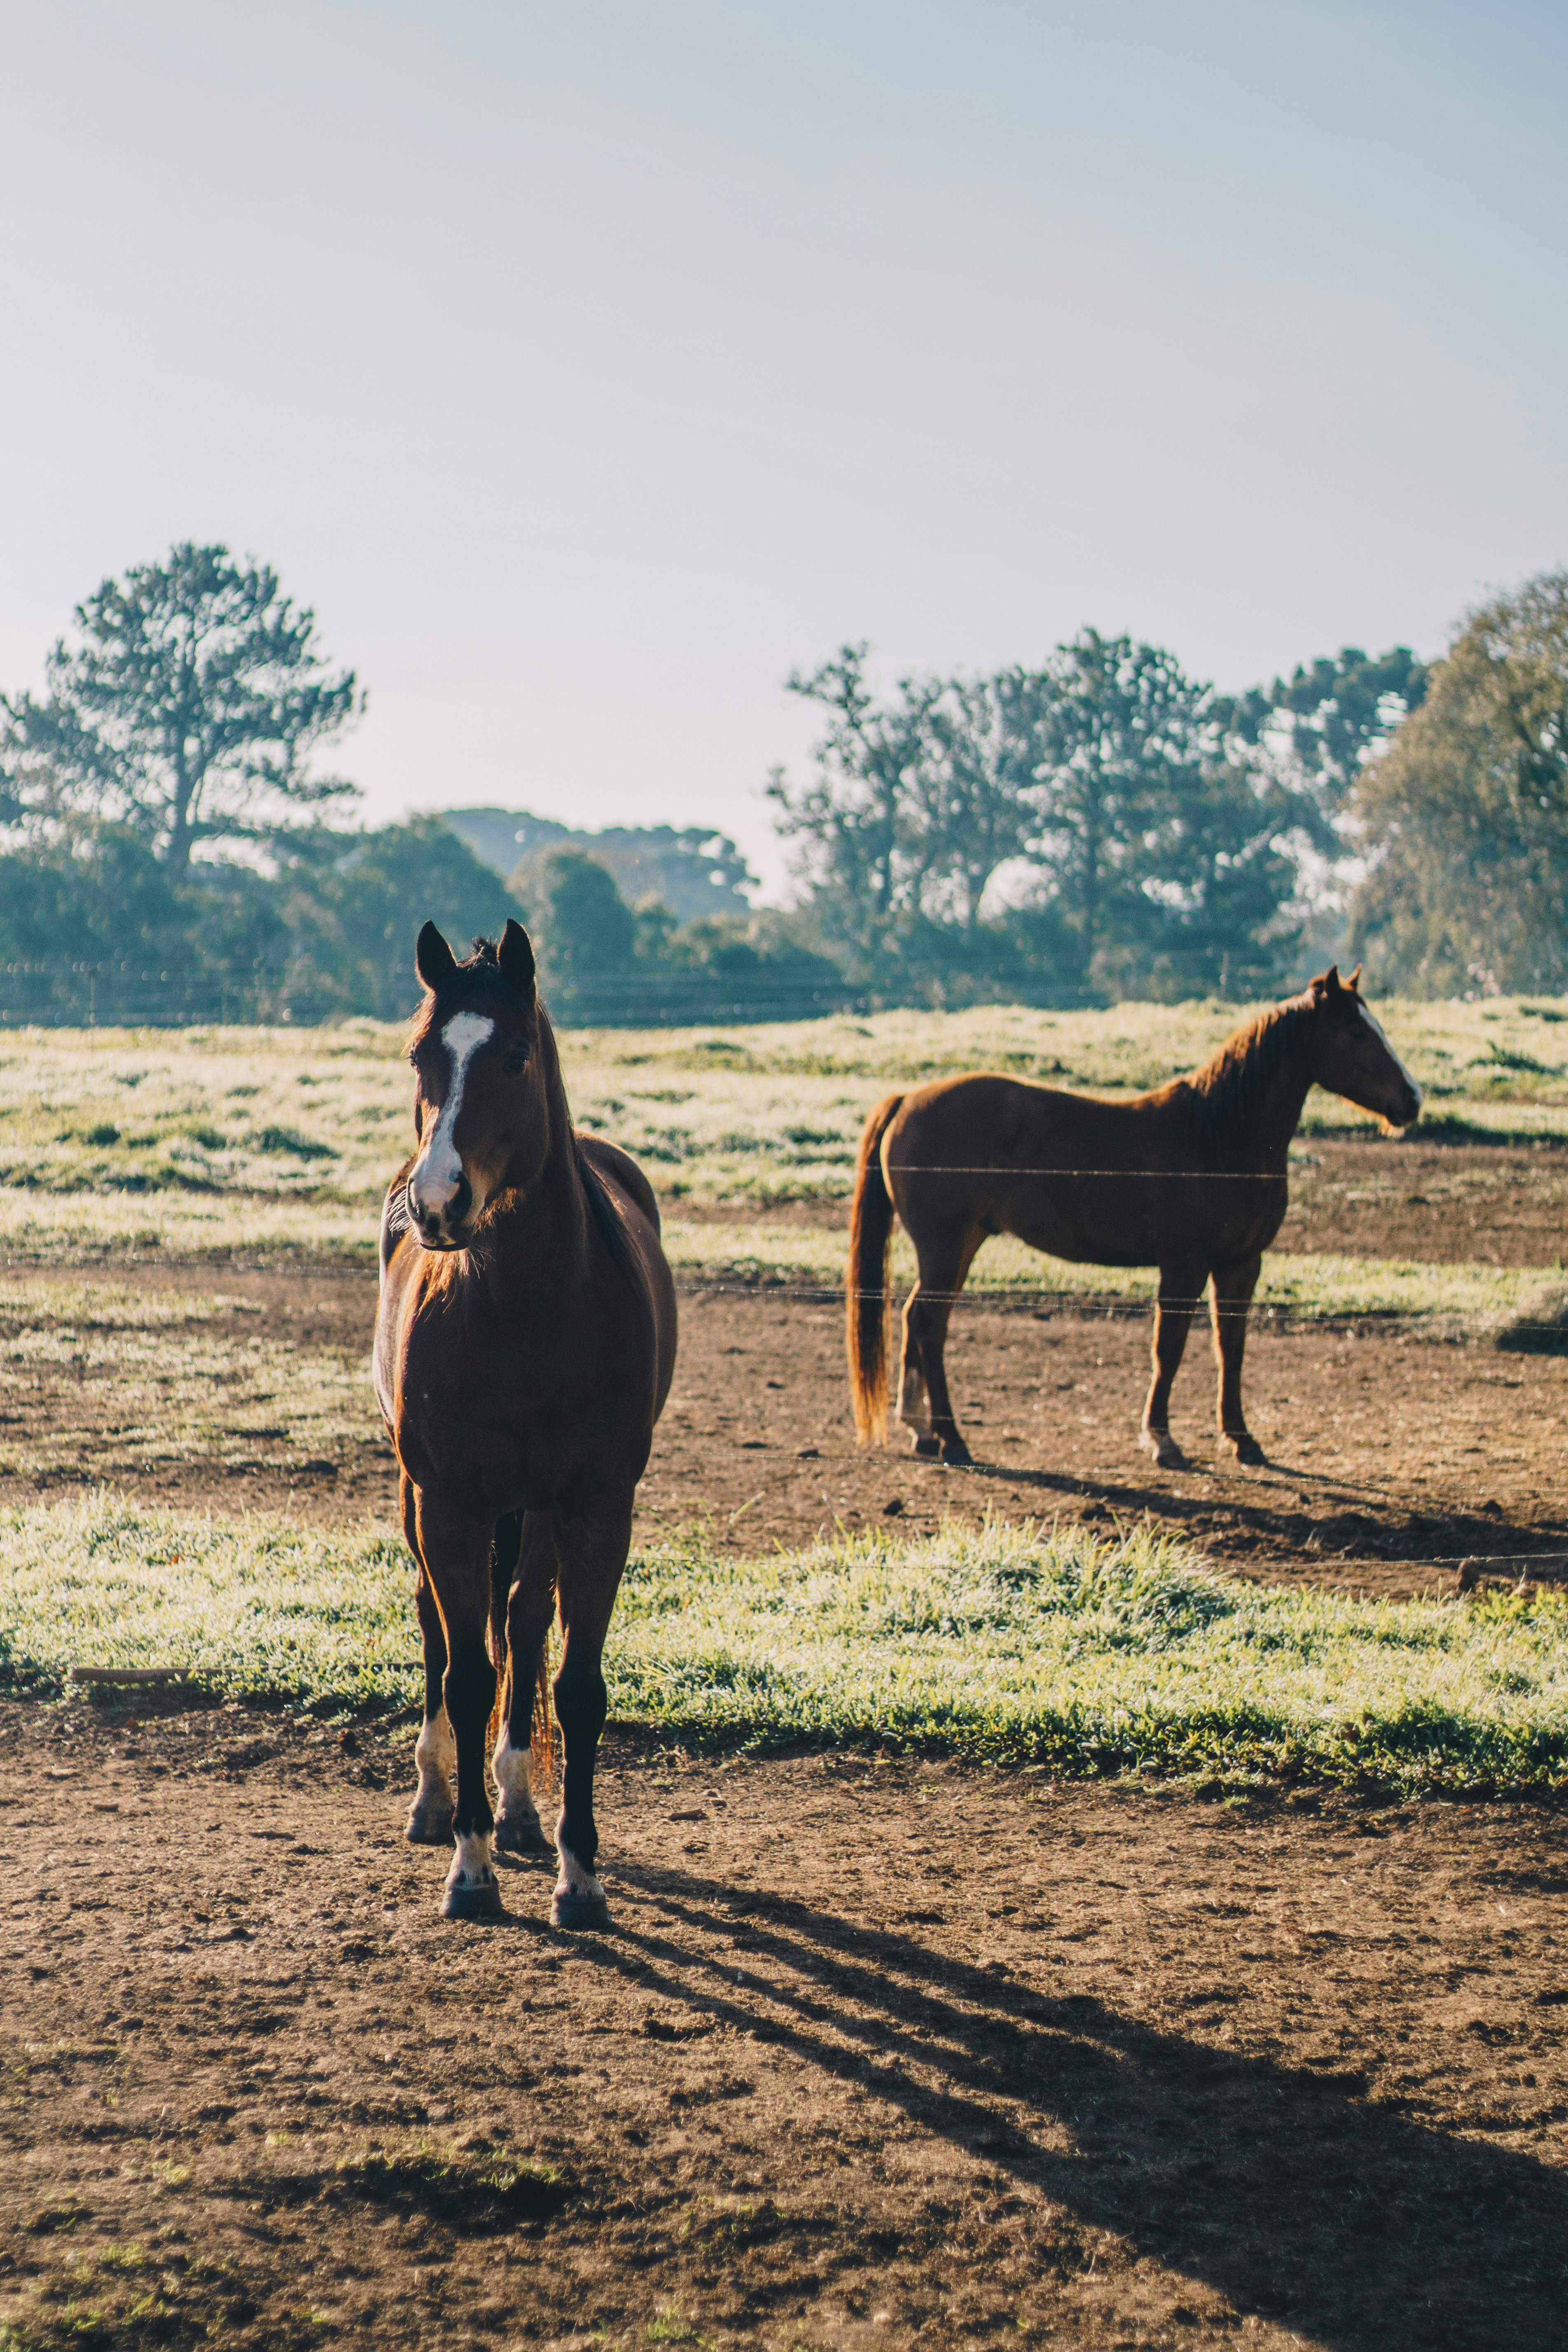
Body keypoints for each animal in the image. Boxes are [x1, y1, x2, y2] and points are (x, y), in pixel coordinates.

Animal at [373, 918, 677, 1927]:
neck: (522, 1309)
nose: (438, 1203)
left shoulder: (597, 1506)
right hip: (418, 1497)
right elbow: (466, 1675)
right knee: (437, 1620)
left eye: (513, 1055)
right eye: (421, 1056)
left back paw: (515, 1805)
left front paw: (578, 1874)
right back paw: (438, 1799)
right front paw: (468, 1869)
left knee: (524, 1615)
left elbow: (574, 1686)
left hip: (539, 1509)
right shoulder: (449, 1503)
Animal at [846, 964, 1420, 1471]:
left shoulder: (1241, 1264)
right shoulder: (1184, 1266)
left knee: (917, 1317)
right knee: (929, 1324)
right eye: (1356, 1033)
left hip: (962, 1244)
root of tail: (907, 1100)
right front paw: (1163, 1441)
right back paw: (952, 1439)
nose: (1412, 1100)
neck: (1217, 1137)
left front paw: (1242, 1440)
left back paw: (922, 1430)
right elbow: (1169, 1348)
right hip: (945, 1245)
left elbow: (1230, 1348)